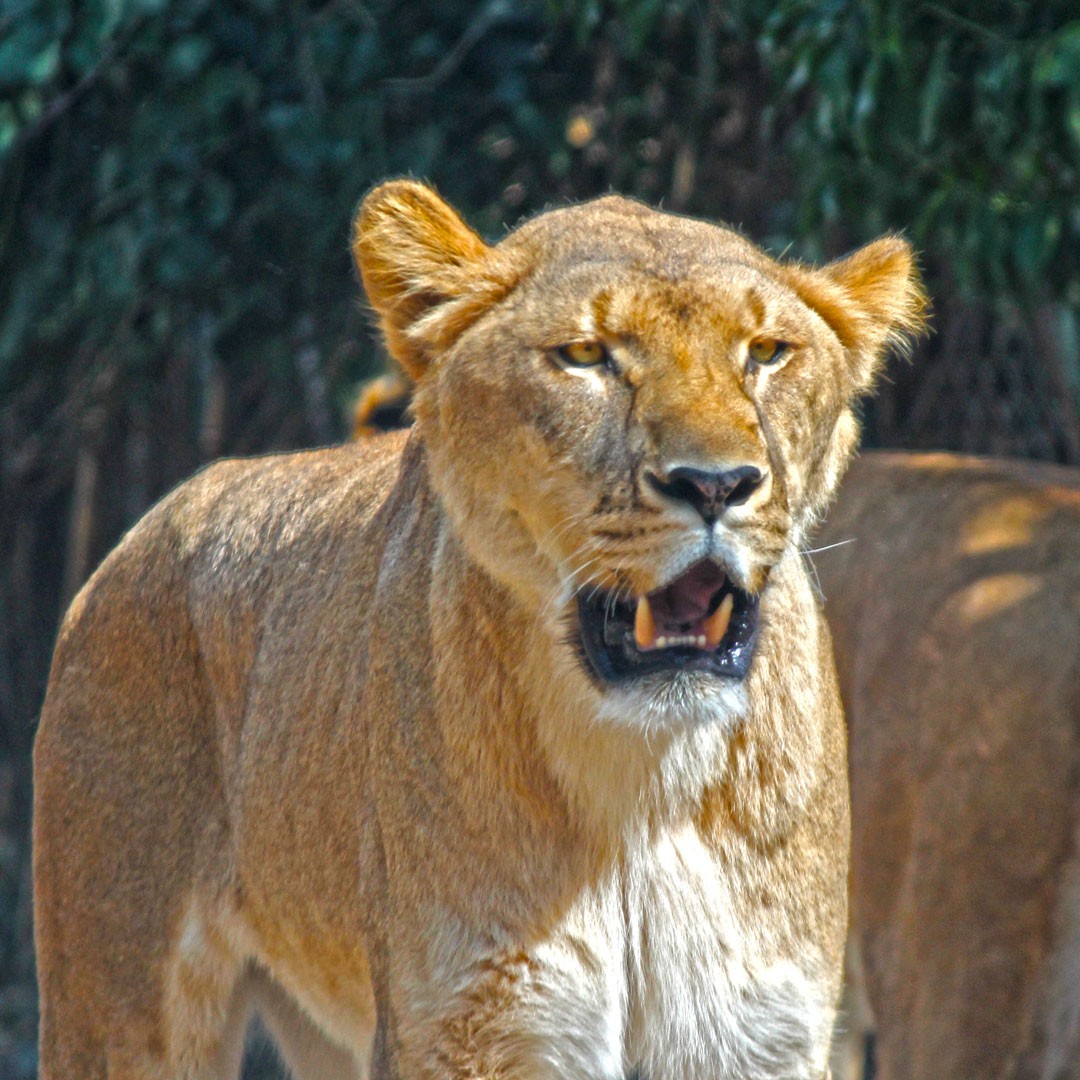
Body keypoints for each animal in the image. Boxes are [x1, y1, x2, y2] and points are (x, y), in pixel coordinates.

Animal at [33, 181, 924, 1079]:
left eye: (767, 351)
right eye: (585, 355)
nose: (715, 484)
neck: (640, 786)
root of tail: (138, 535)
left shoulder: (759, 1032)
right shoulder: (467, 1025)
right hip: (117, 1006)